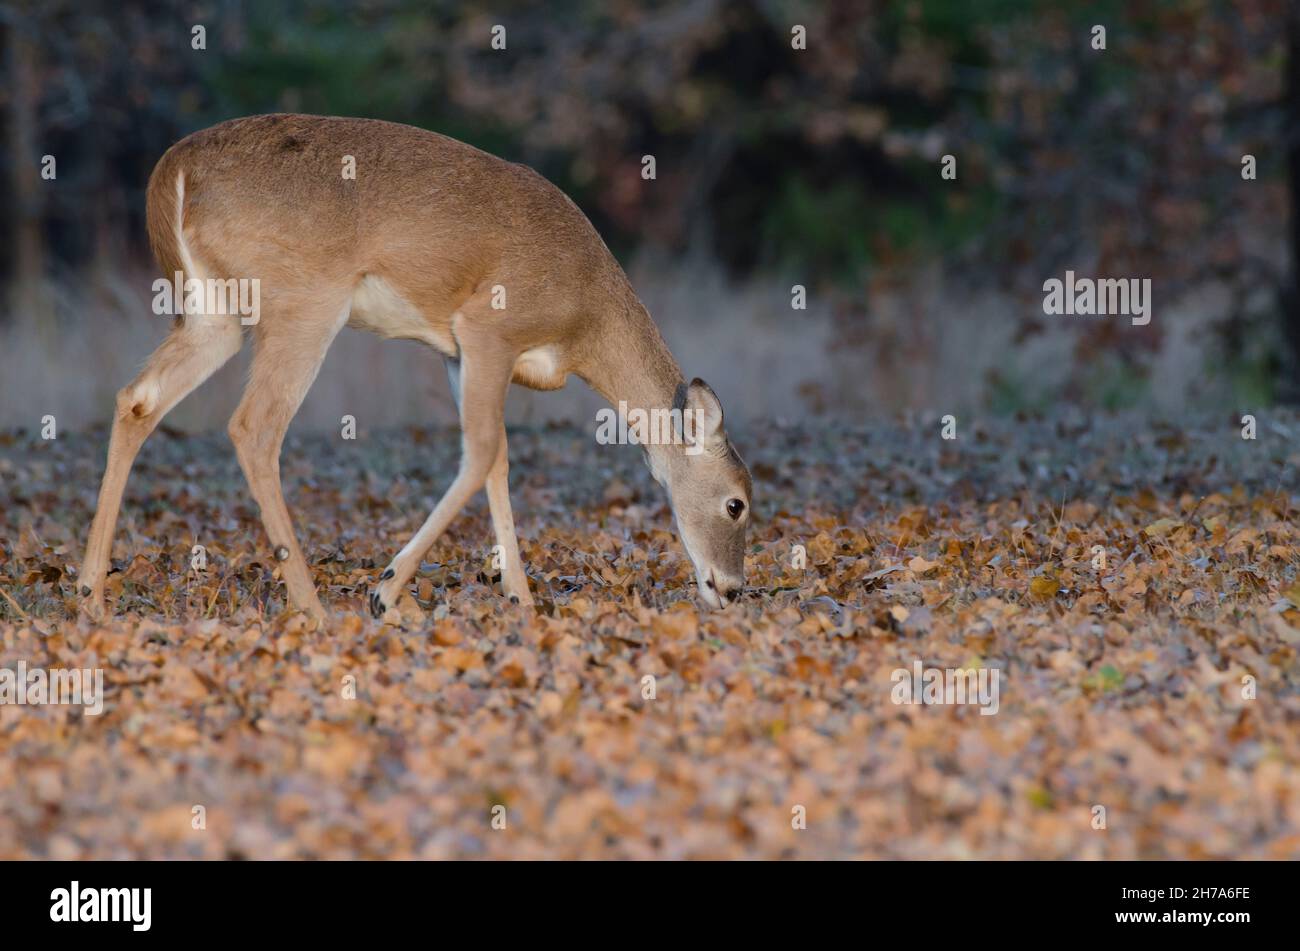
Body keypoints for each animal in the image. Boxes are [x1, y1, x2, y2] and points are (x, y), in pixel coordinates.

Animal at [78, 114, 752, 623]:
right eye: (737, 505)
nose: (732, 589)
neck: (586, 320)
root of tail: (173, 172)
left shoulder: (456, 353)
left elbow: (498, 458)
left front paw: (520, 598)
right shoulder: (488, 328)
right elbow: (482, 452)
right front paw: (387, 590)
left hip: (211, 312)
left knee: (137, 400)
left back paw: (90, 595)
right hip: (304, 302)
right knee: (255, 427)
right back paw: (313, 608)